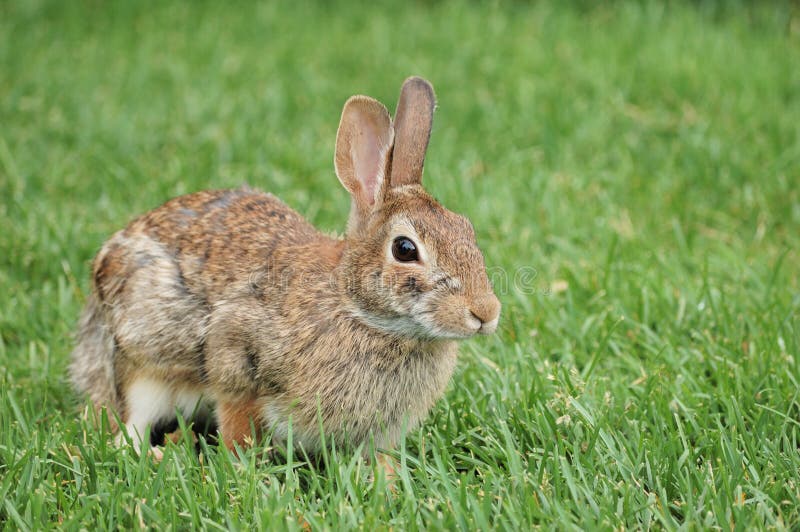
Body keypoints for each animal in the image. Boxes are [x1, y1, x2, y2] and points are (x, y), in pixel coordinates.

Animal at [70, 77, 501, 462]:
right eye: (405, 249)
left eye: (467, 229)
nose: (485, 313)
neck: (358, 309)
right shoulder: (234, 354)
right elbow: (236, 417)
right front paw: (245, 469)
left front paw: (388, 482)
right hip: (143, 363)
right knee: (130, 425)